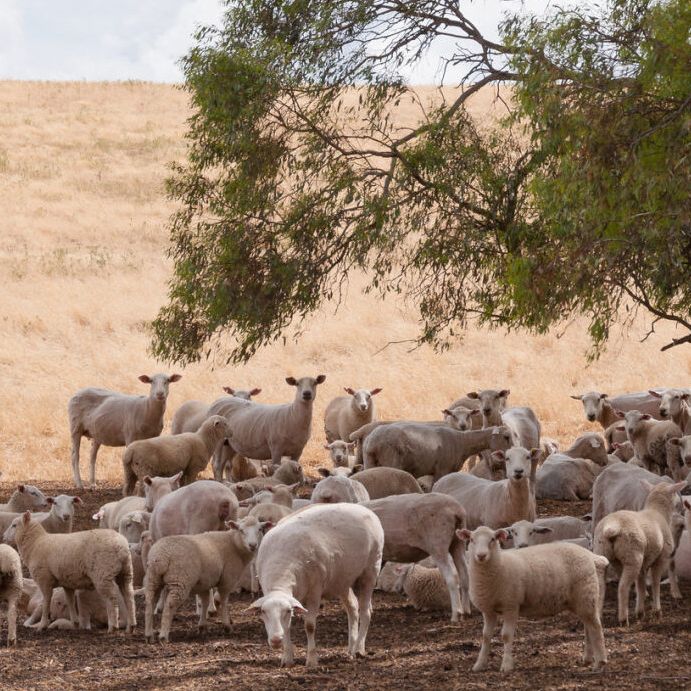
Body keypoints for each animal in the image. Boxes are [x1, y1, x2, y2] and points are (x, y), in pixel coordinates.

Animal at [248, 503, 383, 668]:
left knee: (366, 611)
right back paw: (351, 648)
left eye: (287, 611)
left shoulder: (315, 591)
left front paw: (312, 660)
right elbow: (287, 628)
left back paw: (359, 649)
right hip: (343, 579)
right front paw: (287, 658)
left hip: (370, 570)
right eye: (263, 611)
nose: (275, 640)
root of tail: (362, 508)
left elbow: (310, 626)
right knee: (353, 608)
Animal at [363, 423, 513, 480]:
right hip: (391, 461)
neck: (462, 441)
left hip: (369, 461)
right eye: (506, 437)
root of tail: (373, 441)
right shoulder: (442, 470)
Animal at [363, 493, 470, 621]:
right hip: (458, 542)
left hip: (438, 545)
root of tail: (456, 510)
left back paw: (456, 614)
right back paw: (466, 611)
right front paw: (368, 608)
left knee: (452, 577)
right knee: (464, 574)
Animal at [458, 526, 608, 673]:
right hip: (582, 600)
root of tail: (591, 556)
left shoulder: (511, 605)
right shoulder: (488, 610)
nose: (481, 555)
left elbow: (506, 635)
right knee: (588, 627)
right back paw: (588, 659)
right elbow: (485, 636)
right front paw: (479, 664)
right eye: (472, 540)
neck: (499, 565)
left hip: (586, 595)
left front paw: (506, 665)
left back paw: (600, 662)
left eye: (492, 539)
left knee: (596, 626)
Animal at [593, 481, 686, 625]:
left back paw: (598, 618)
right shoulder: (661, 558)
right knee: (623, 587)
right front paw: (657, 611)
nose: (681, 507)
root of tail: (611, 528)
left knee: (601, 587)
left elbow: (640, 584)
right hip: (633, 555)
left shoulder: (643, 562)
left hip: (603, 552)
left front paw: (640, 612)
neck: (658, 511)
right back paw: (623, 619)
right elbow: (655, 582)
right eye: (676, 493)